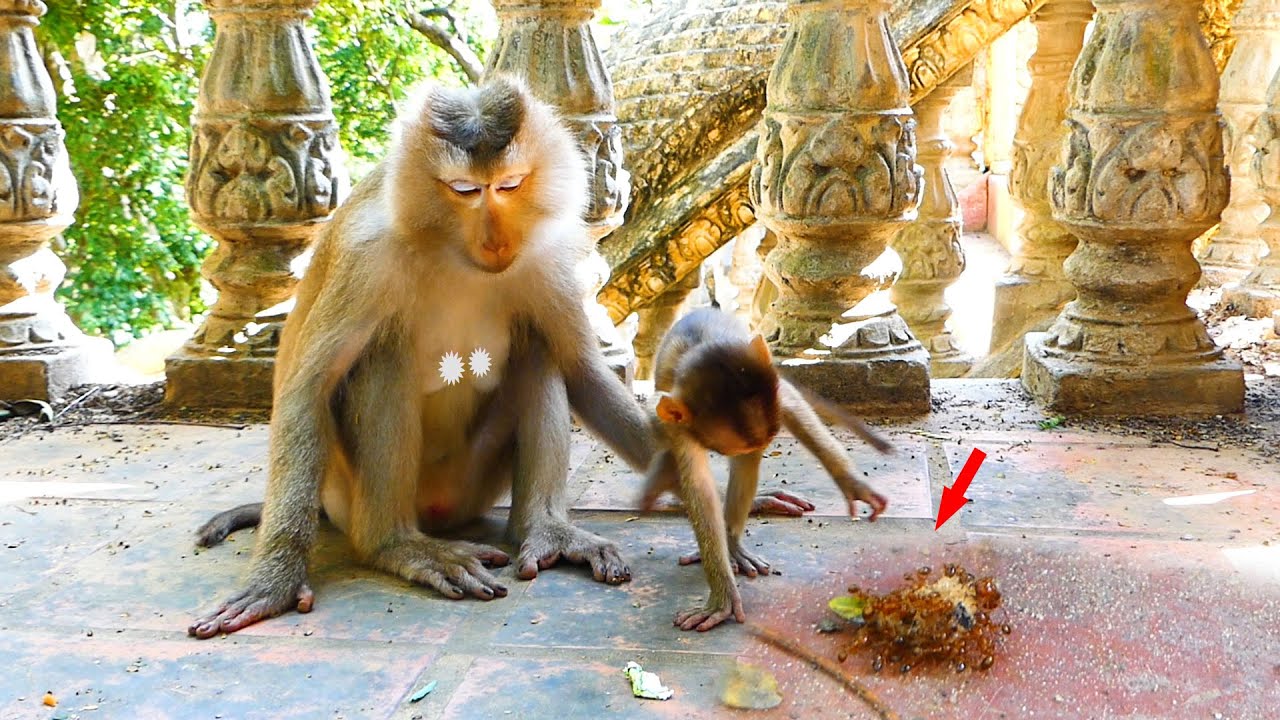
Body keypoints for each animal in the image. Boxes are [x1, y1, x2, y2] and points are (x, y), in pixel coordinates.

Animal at [188, 76, 661, 639]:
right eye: (465, 190)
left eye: (509, 185)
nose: (496, 240)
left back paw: (542, 529)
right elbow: (308, 391)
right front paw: (274, 580)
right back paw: (395, 545)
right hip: (350, 493)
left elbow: (582, 369)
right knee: (380, 354)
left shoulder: (547, 255)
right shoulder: (367, 259)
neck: (451, 248)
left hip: (473, 482)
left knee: (536, 345)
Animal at [640, 307, 891, 631]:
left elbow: (797, 410)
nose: (756, 446)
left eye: (766, 439)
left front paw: (852, 483)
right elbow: (699, 489)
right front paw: (722, 594)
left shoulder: (774, 391)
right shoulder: (680, 425)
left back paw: (732, 543)